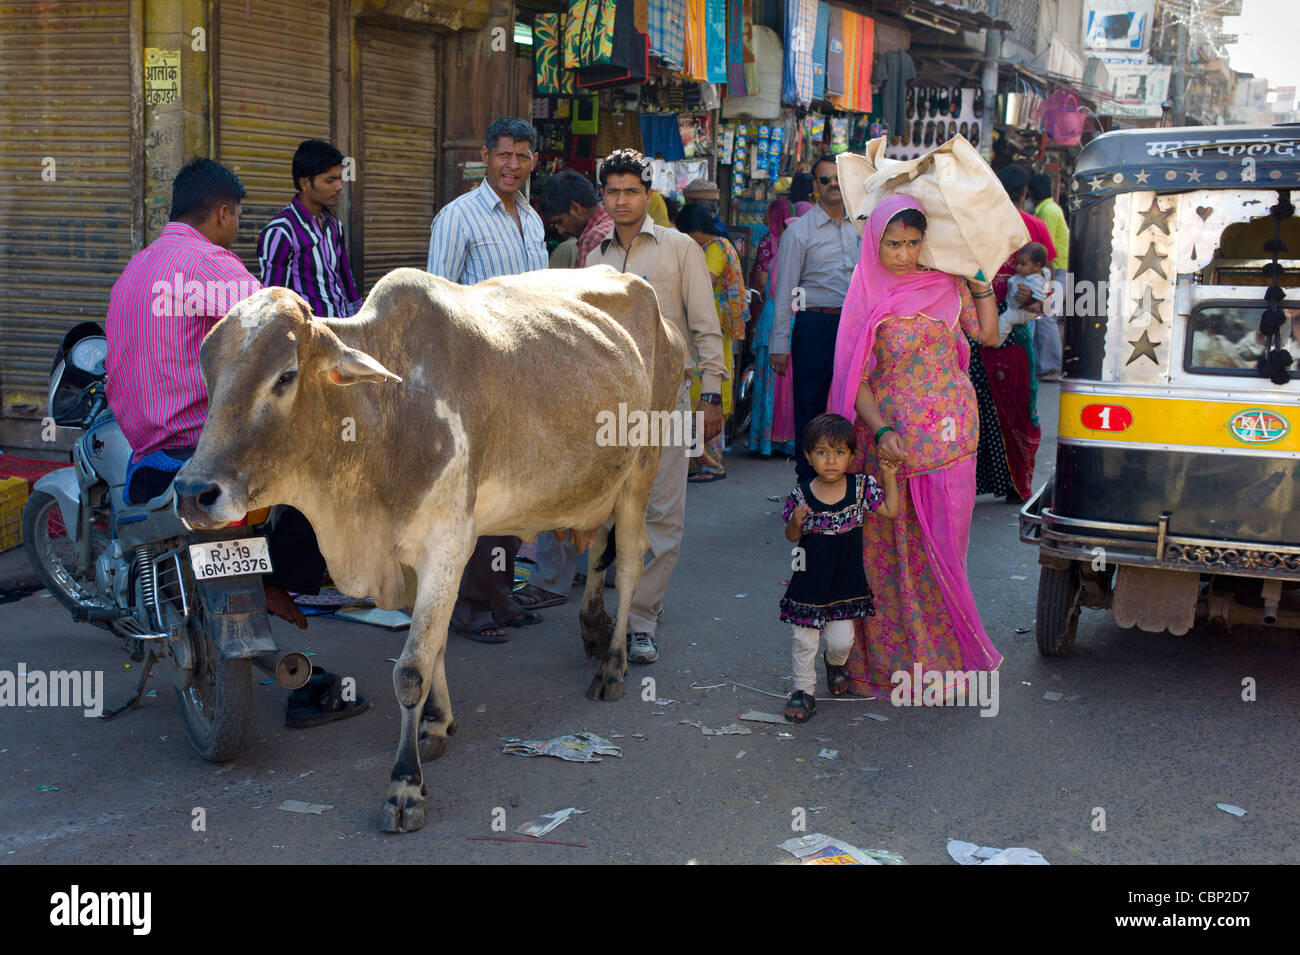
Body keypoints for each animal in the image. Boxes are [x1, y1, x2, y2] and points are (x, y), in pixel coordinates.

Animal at [173, 265, 688, 832]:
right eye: (207, 374)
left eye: (285, 376)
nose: (192, 492)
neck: (388, 416)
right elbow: (436, 646)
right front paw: (437, 727)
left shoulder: (446, 545)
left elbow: (411, 669)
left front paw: (405, 786)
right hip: (600, 483)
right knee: (598, 550)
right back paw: (593, 631)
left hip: (643, 468)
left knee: (633, 562)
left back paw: (613, 664)